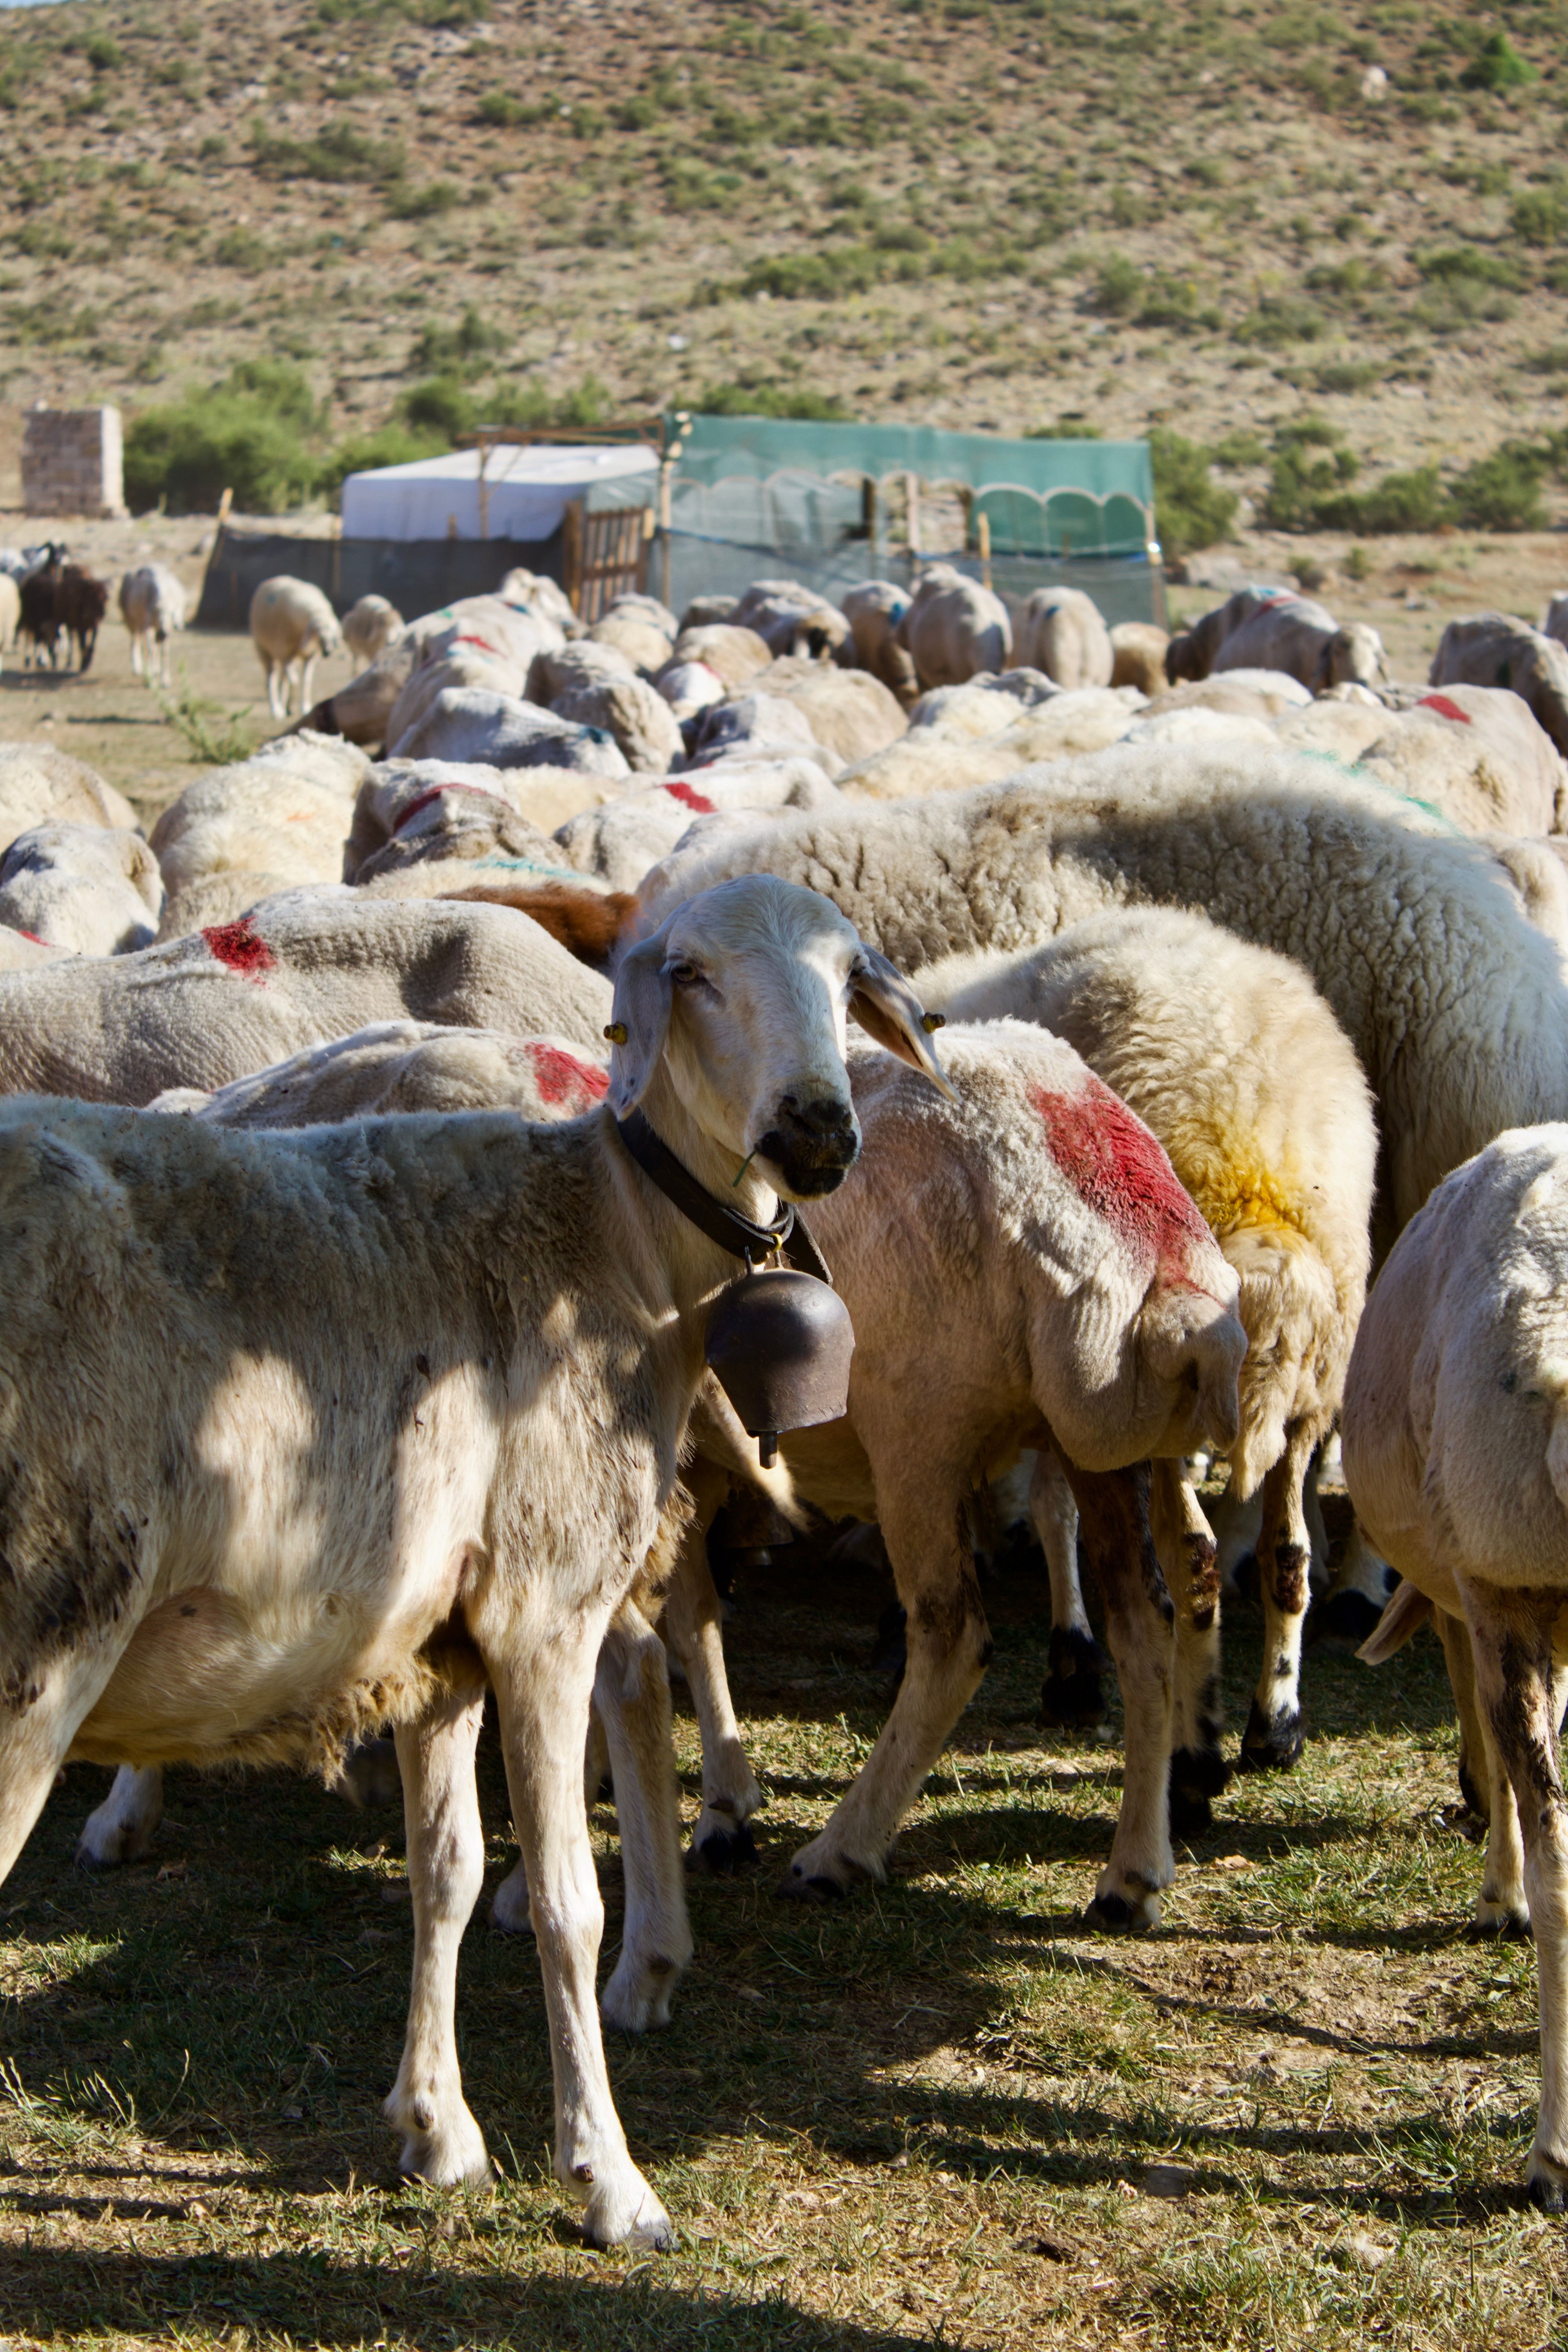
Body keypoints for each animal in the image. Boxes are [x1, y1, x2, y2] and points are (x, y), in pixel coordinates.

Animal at [118, 564, 187, 689]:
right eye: (158, 612)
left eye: (172, 614)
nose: (163, 634)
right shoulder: (148, 626)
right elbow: (151, 650)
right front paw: (151, 681)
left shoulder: (167, 629)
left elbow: (165, 652)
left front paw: (166, 680)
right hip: (131, 621)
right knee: (135, 643)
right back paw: (138, 668)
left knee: (155, 645)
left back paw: (156, 669)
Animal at [250, 577, 343, 720]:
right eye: (319, 635)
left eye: (333, 634)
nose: (327, 653)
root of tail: (273, 579)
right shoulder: (283, 651)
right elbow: (295, 680)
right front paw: (285, 706)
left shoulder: (310, 656)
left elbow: (306, 681)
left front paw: (305, 707)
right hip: (264, 649)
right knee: (272, 678)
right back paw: (276, 709)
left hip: (293, 656)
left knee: (283, 679)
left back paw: (285, 706)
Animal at [342, 594, 405, 667]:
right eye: (383, 626)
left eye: (395, 625)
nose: (390, 643)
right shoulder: (370, 652)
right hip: (354, 648)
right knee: (356, 661)